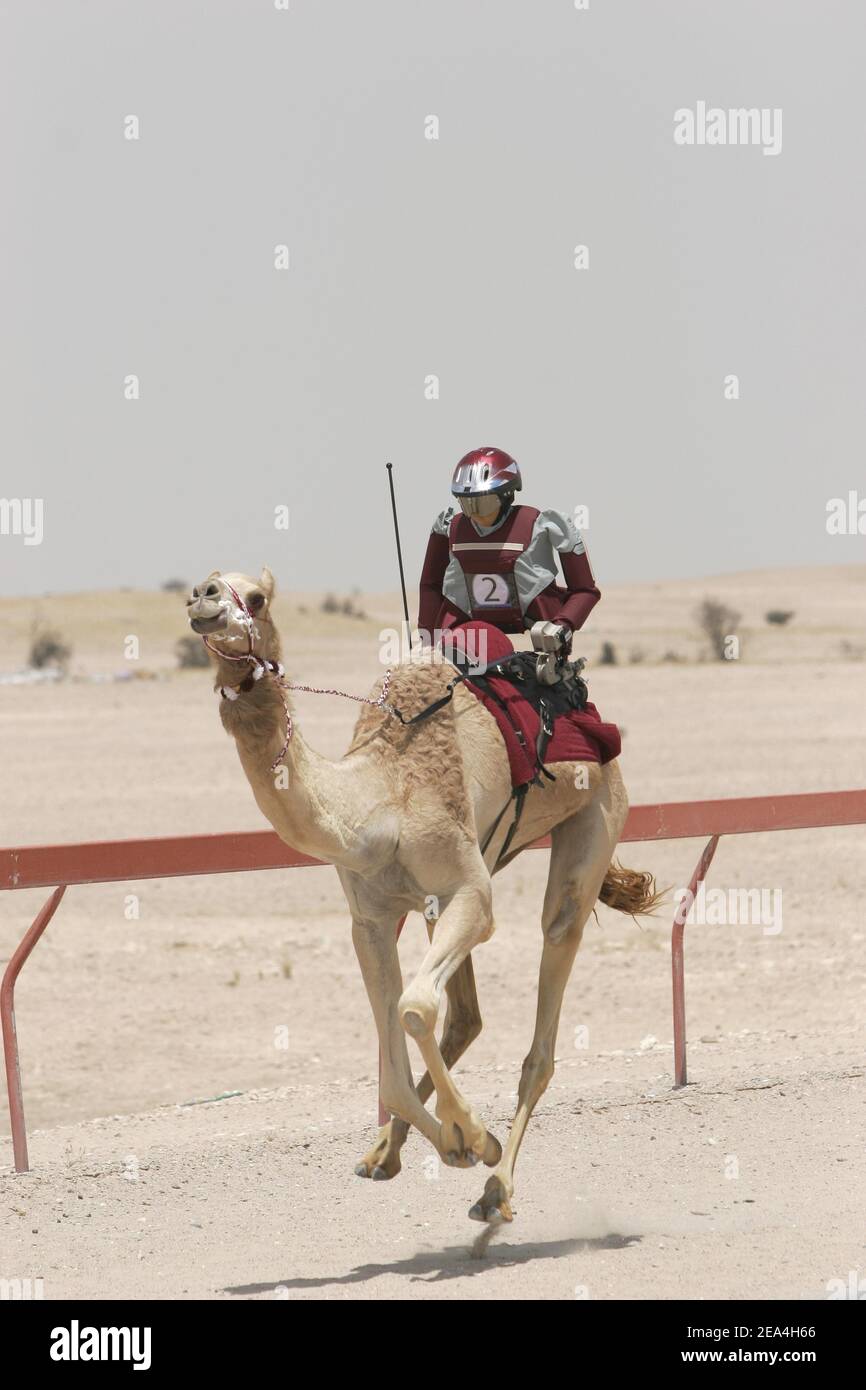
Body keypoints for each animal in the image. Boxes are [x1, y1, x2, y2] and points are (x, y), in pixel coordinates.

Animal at [187, 567, 660, 1223]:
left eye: (255, 597)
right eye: (207, 584)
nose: (202, 597)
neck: (379, 796)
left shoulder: (471, 893)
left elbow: (413, 1009)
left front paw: (477, 1140)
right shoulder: (370, 919)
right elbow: (394, 1063)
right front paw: (451, 1142)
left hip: (596, 816)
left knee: (550, 972)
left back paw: (497, 1190)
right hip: (452, 900)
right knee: (464, 1016)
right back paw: (387, 1152)